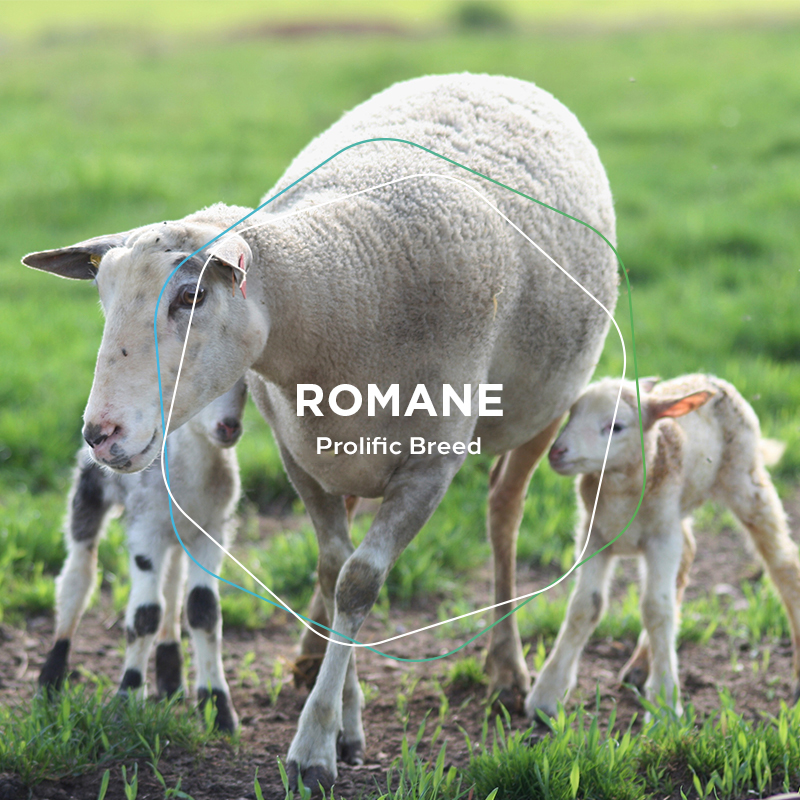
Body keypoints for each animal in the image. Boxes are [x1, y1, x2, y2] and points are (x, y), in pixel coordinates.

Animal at [38, 378, 248, 732]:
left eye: (246, 387)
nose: (229, 427)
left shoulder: (212, 532)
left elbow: (203, 610)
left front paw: (218, 710)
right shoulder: (145, 529)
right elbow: (145, 614)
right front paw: (127, 703)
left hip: (174, 534)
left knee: (173, 583)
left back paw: (171, 679)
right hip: (90, 489)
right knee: (77, 579)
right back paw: (49, 681)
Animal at [526, 374, 800, 721]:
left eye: (615, 426)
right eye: (571, 414)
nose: (557, 451)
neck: (621, 491)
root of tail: (709, 377)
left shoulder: (661, 538)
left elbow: (656, 608)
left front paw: (665, 704)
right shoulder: (595, 534)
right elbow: (585, 606)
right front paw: (547, 693)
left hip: (744, 479)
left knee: (783, 564)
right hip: (677, 512)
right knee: (688, 556)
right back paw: (641, 665)